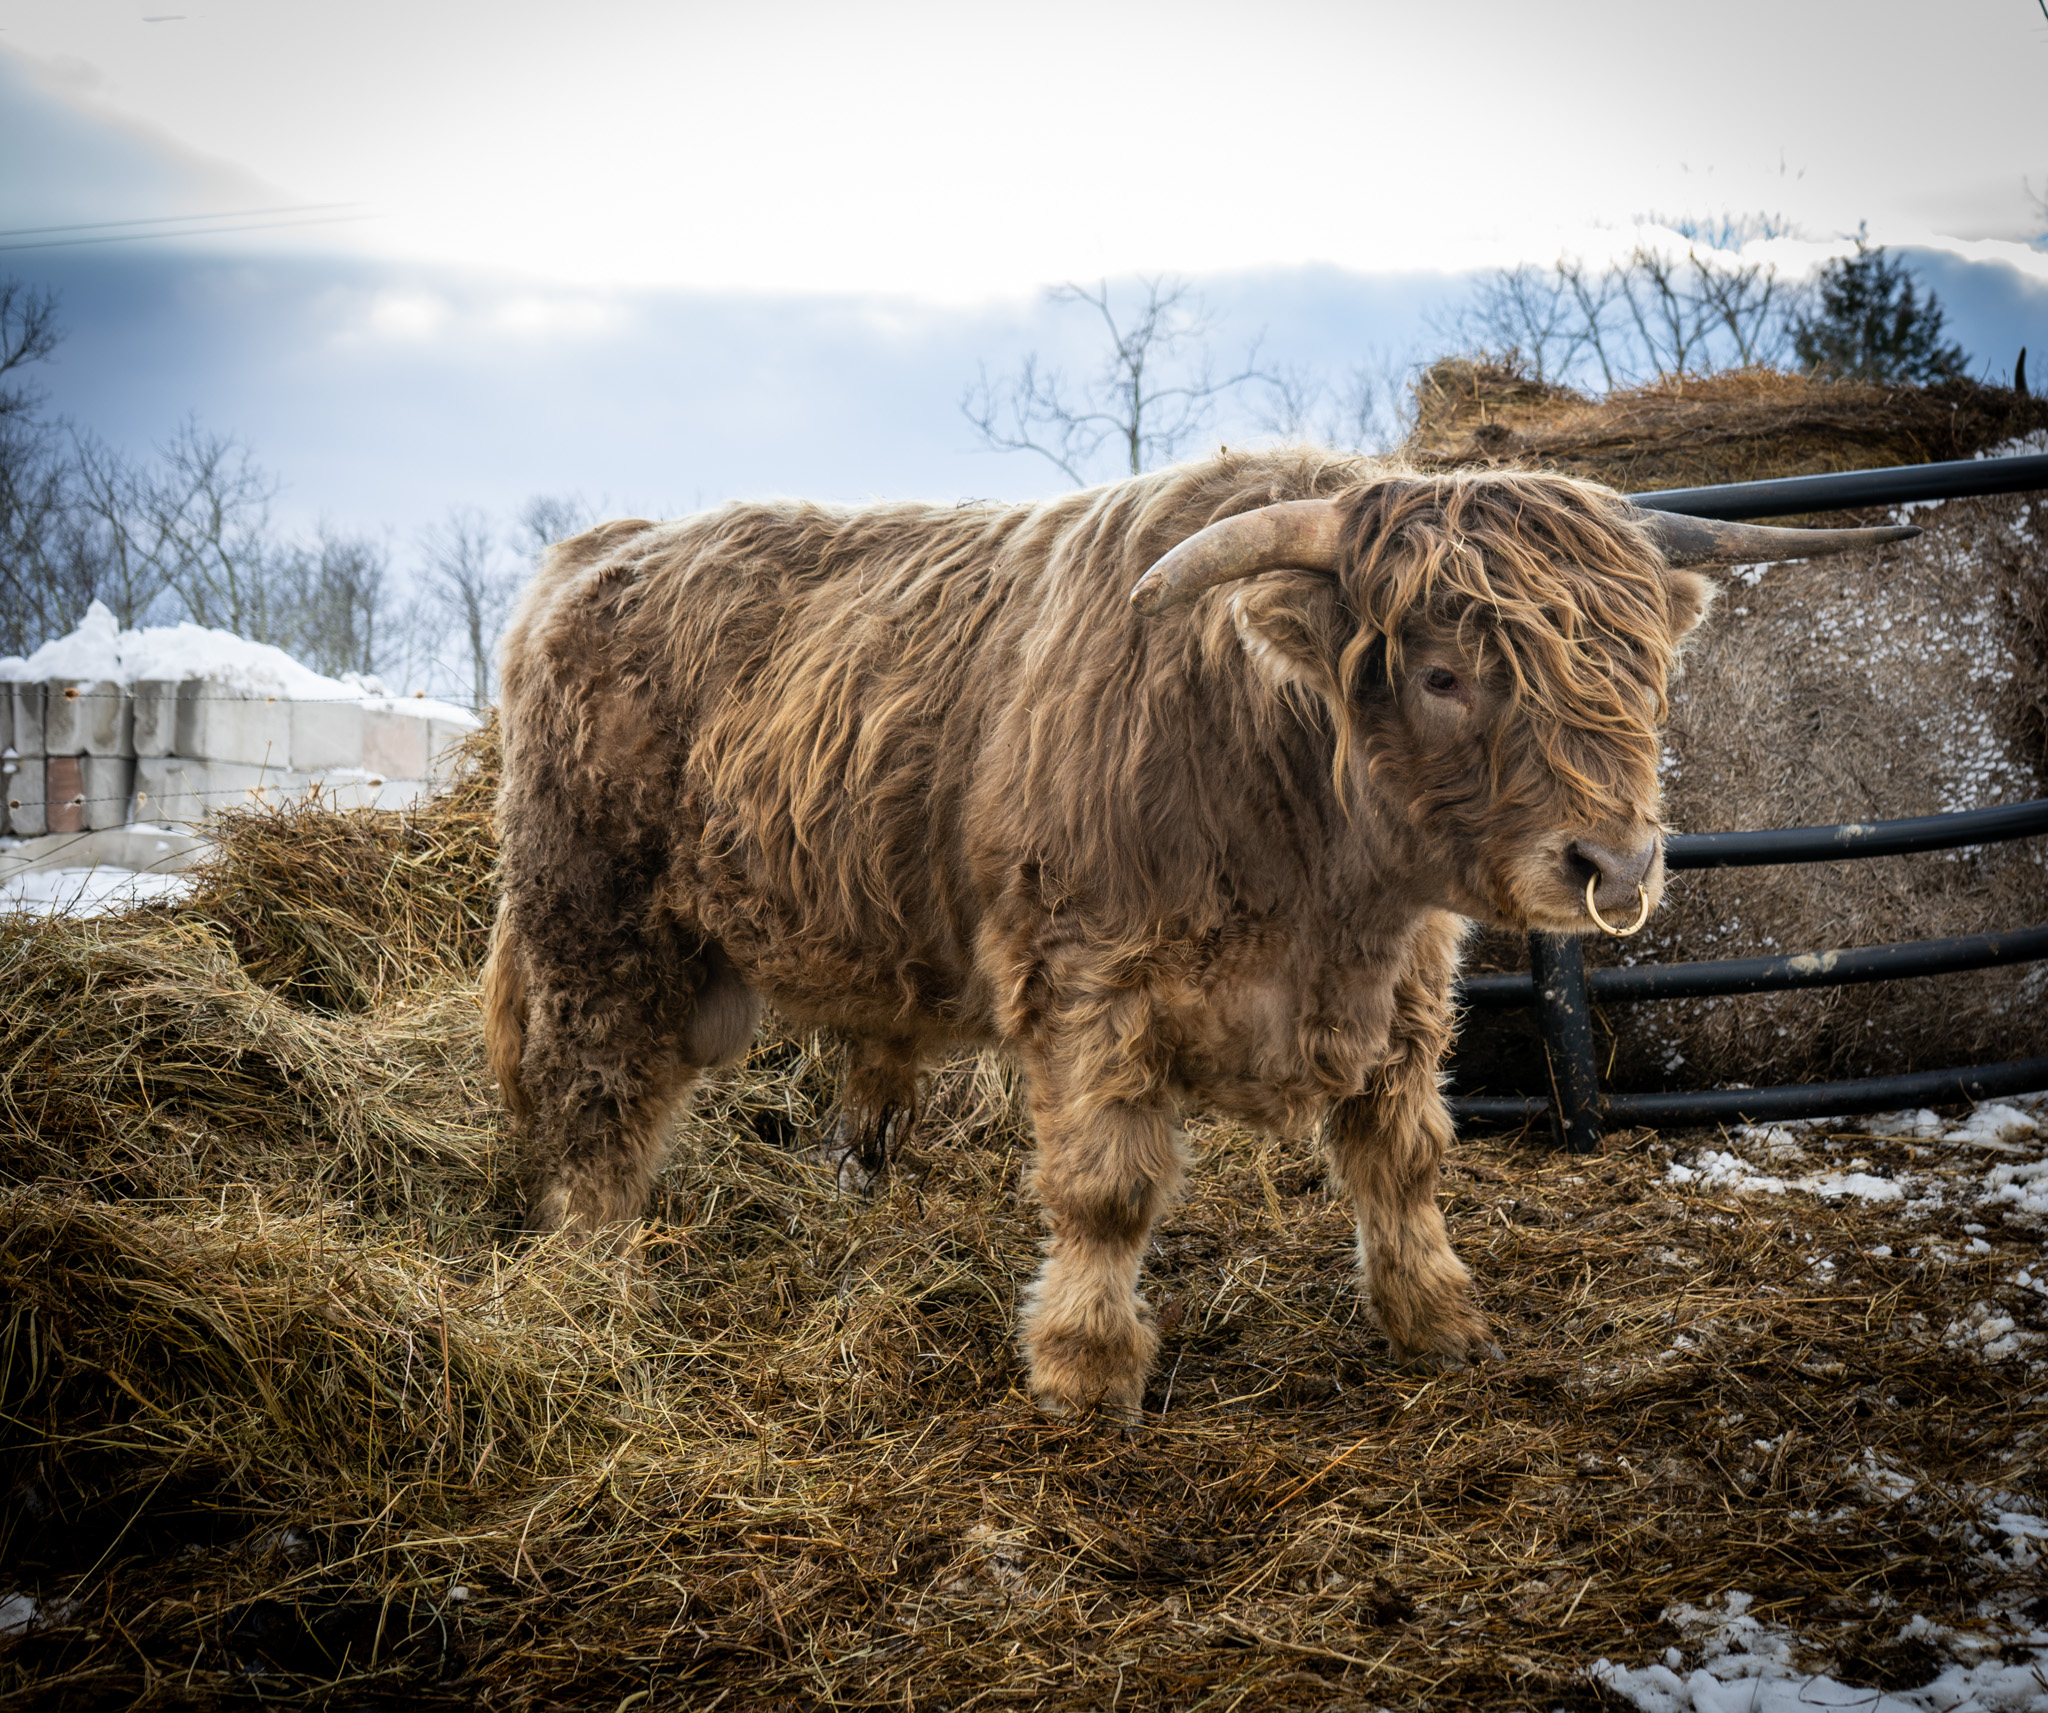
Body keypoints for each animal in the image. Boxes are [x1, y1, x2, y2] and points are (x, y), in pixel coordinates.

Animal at [481, 447, 1910, 1416]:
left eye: (1641, 671)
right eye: (1442, 675)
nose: (1612, 866)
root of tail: (597, 553)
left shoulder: (1404, 992)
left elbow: (1404, 1163)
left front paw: (1437, 1319)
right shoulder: (1089, 986)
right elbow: (1106, 1189)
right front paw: (1084, 1369)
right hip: (595, 921)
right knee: (596, 1094)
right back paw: (590, 1273)